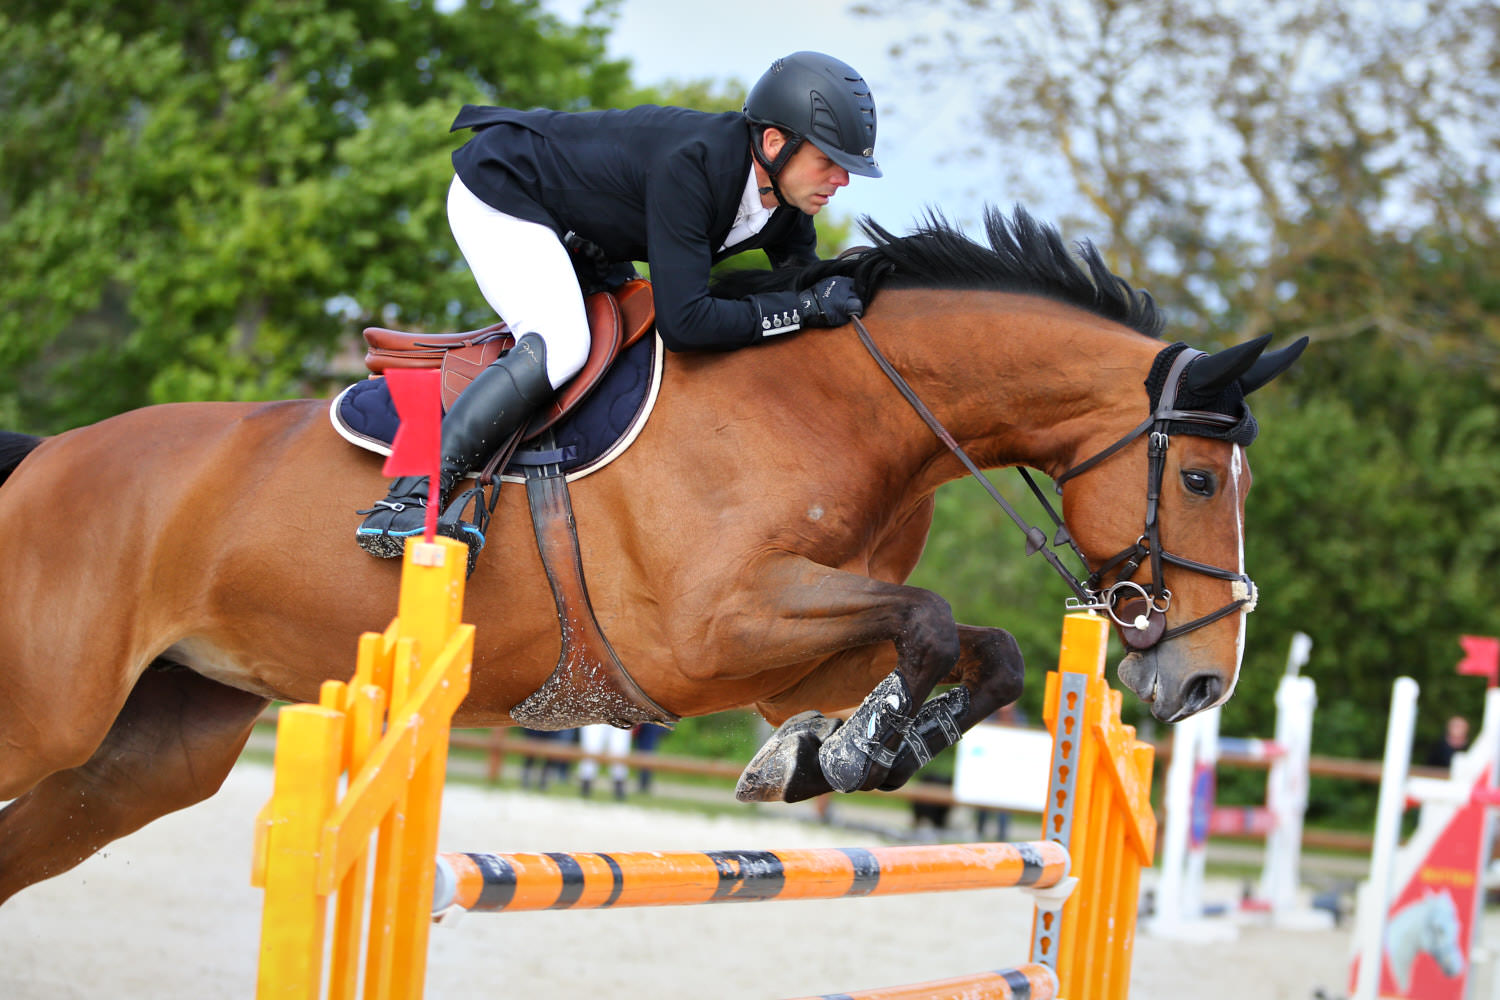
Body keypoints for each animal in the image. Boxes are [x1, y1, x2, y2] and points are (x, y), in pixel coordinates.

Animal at [0, 209, 1305, 905]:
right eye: (1199, 480)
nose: (1202, 680)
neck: (844, 403)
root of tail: (46, 457)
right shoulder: (707, 633)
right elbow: (937, 620)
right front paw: (849, 752)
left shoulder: (791, 649)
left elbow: (977, 651)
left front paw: (827, 755)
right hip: (50, 708)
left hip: (154, 747)